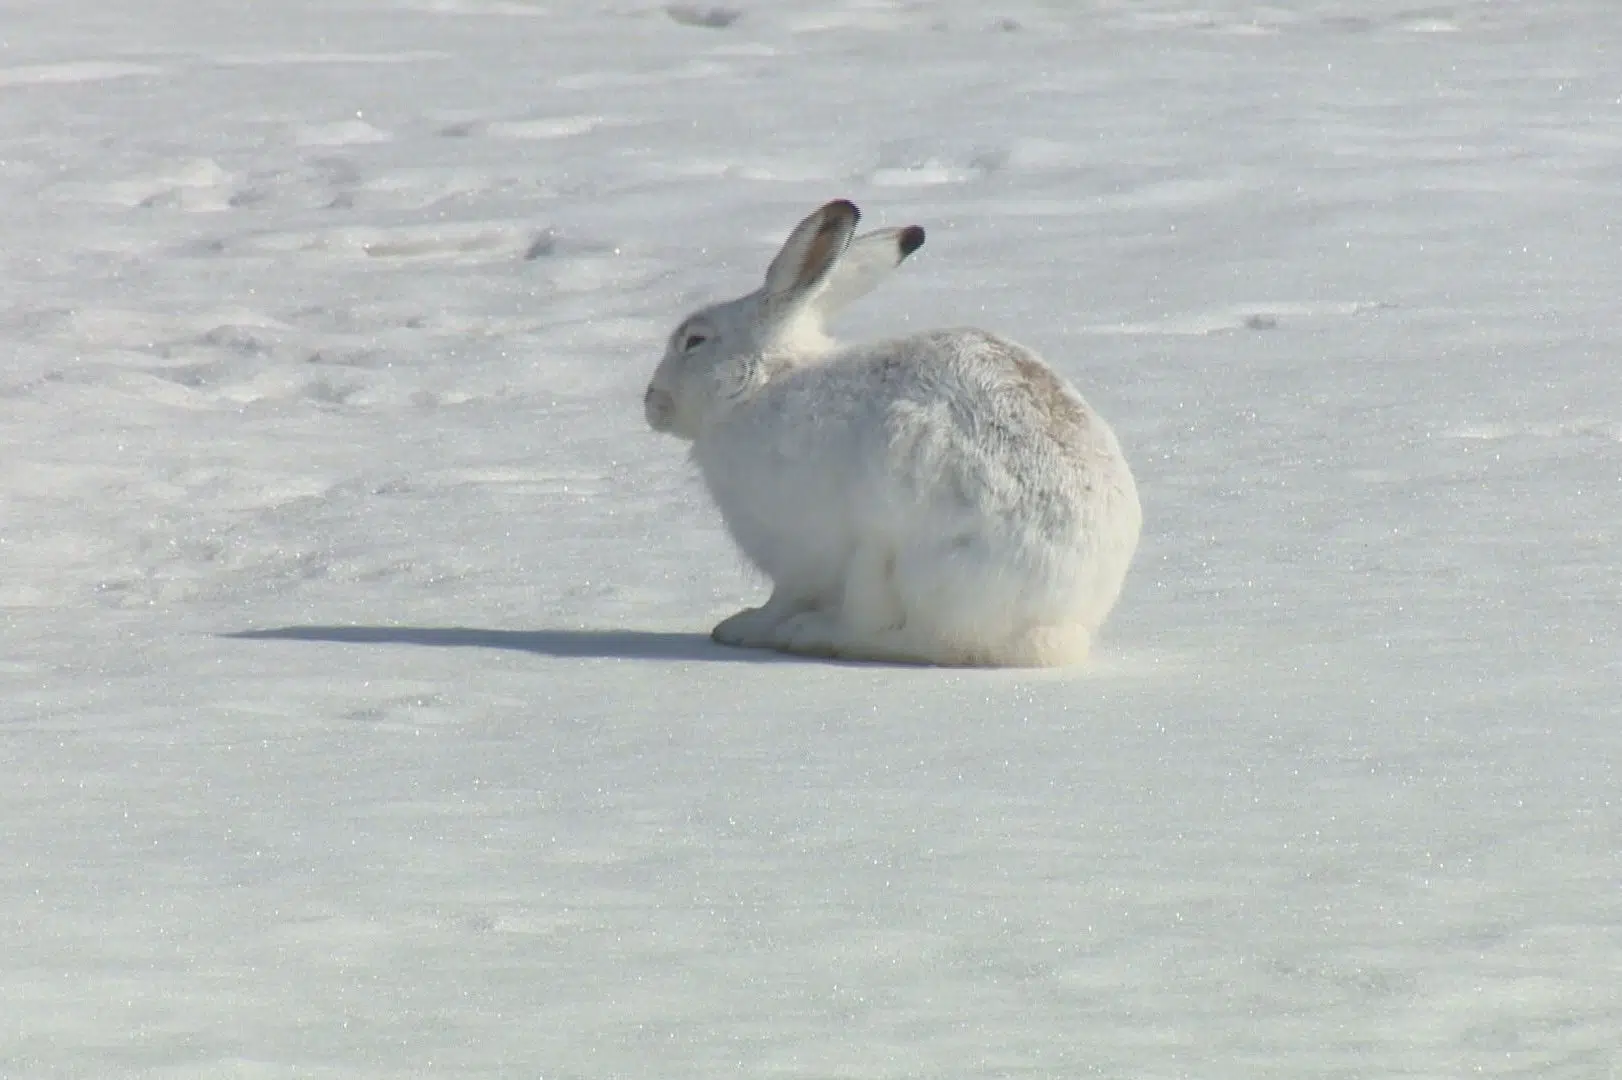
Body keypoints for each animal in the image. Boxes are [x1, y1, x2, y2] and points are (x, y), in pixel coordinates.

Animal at [644, 199, 1141, 666]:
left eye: (693, 342)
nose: (651, 403)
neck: (762, 384)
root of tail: (1054, 620)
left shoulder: (797, 553)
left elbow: (782, 597)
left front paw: (741, 626)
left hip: (888, 554)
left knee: (910, 638)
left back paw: (808, 633)